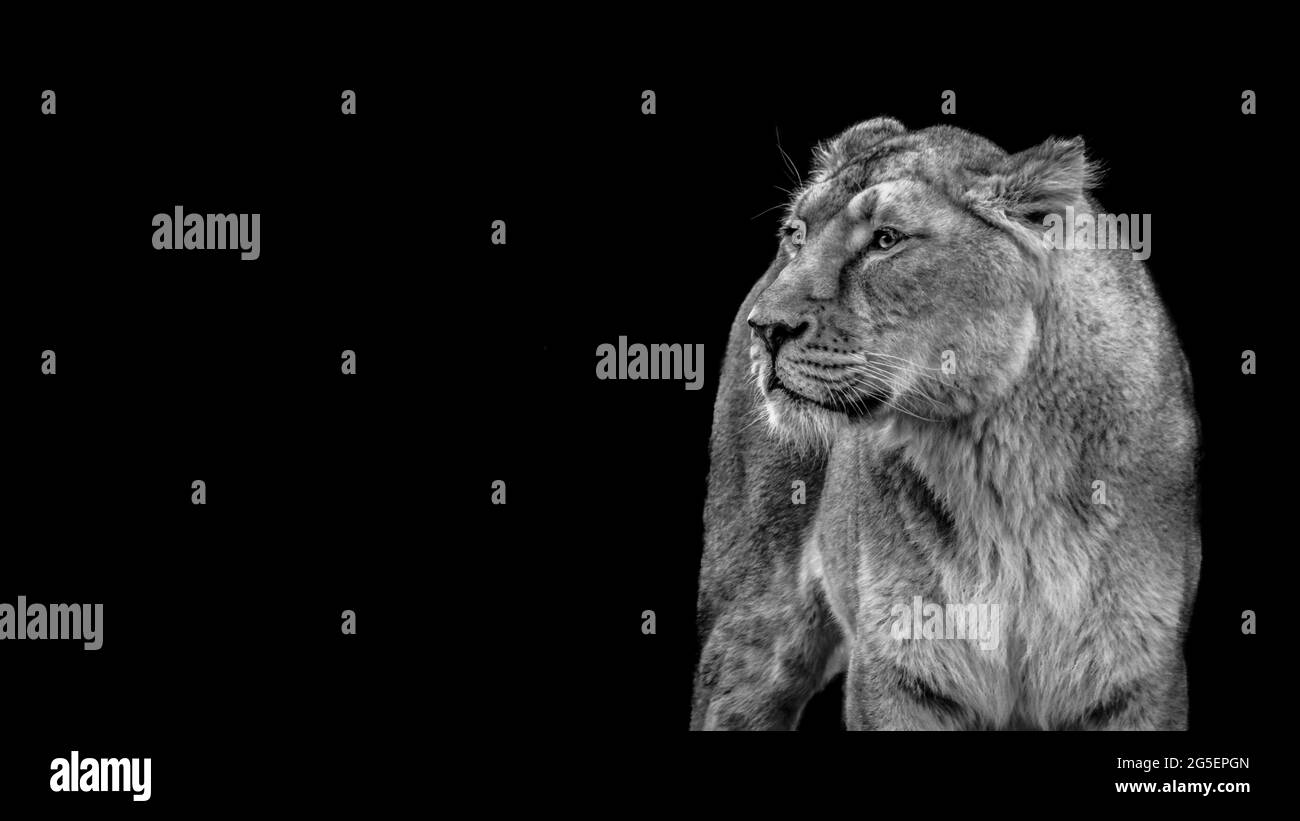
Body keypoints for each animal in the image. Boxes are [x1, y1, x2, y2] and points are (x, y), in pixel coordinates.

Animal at [691, 118, 1200, 730]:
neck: (997, 454)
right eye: (797, 233)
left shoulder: (1139, 677)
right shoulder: (899, 670)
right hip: (749, 628)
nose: (764, 328)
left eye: (886, 240)